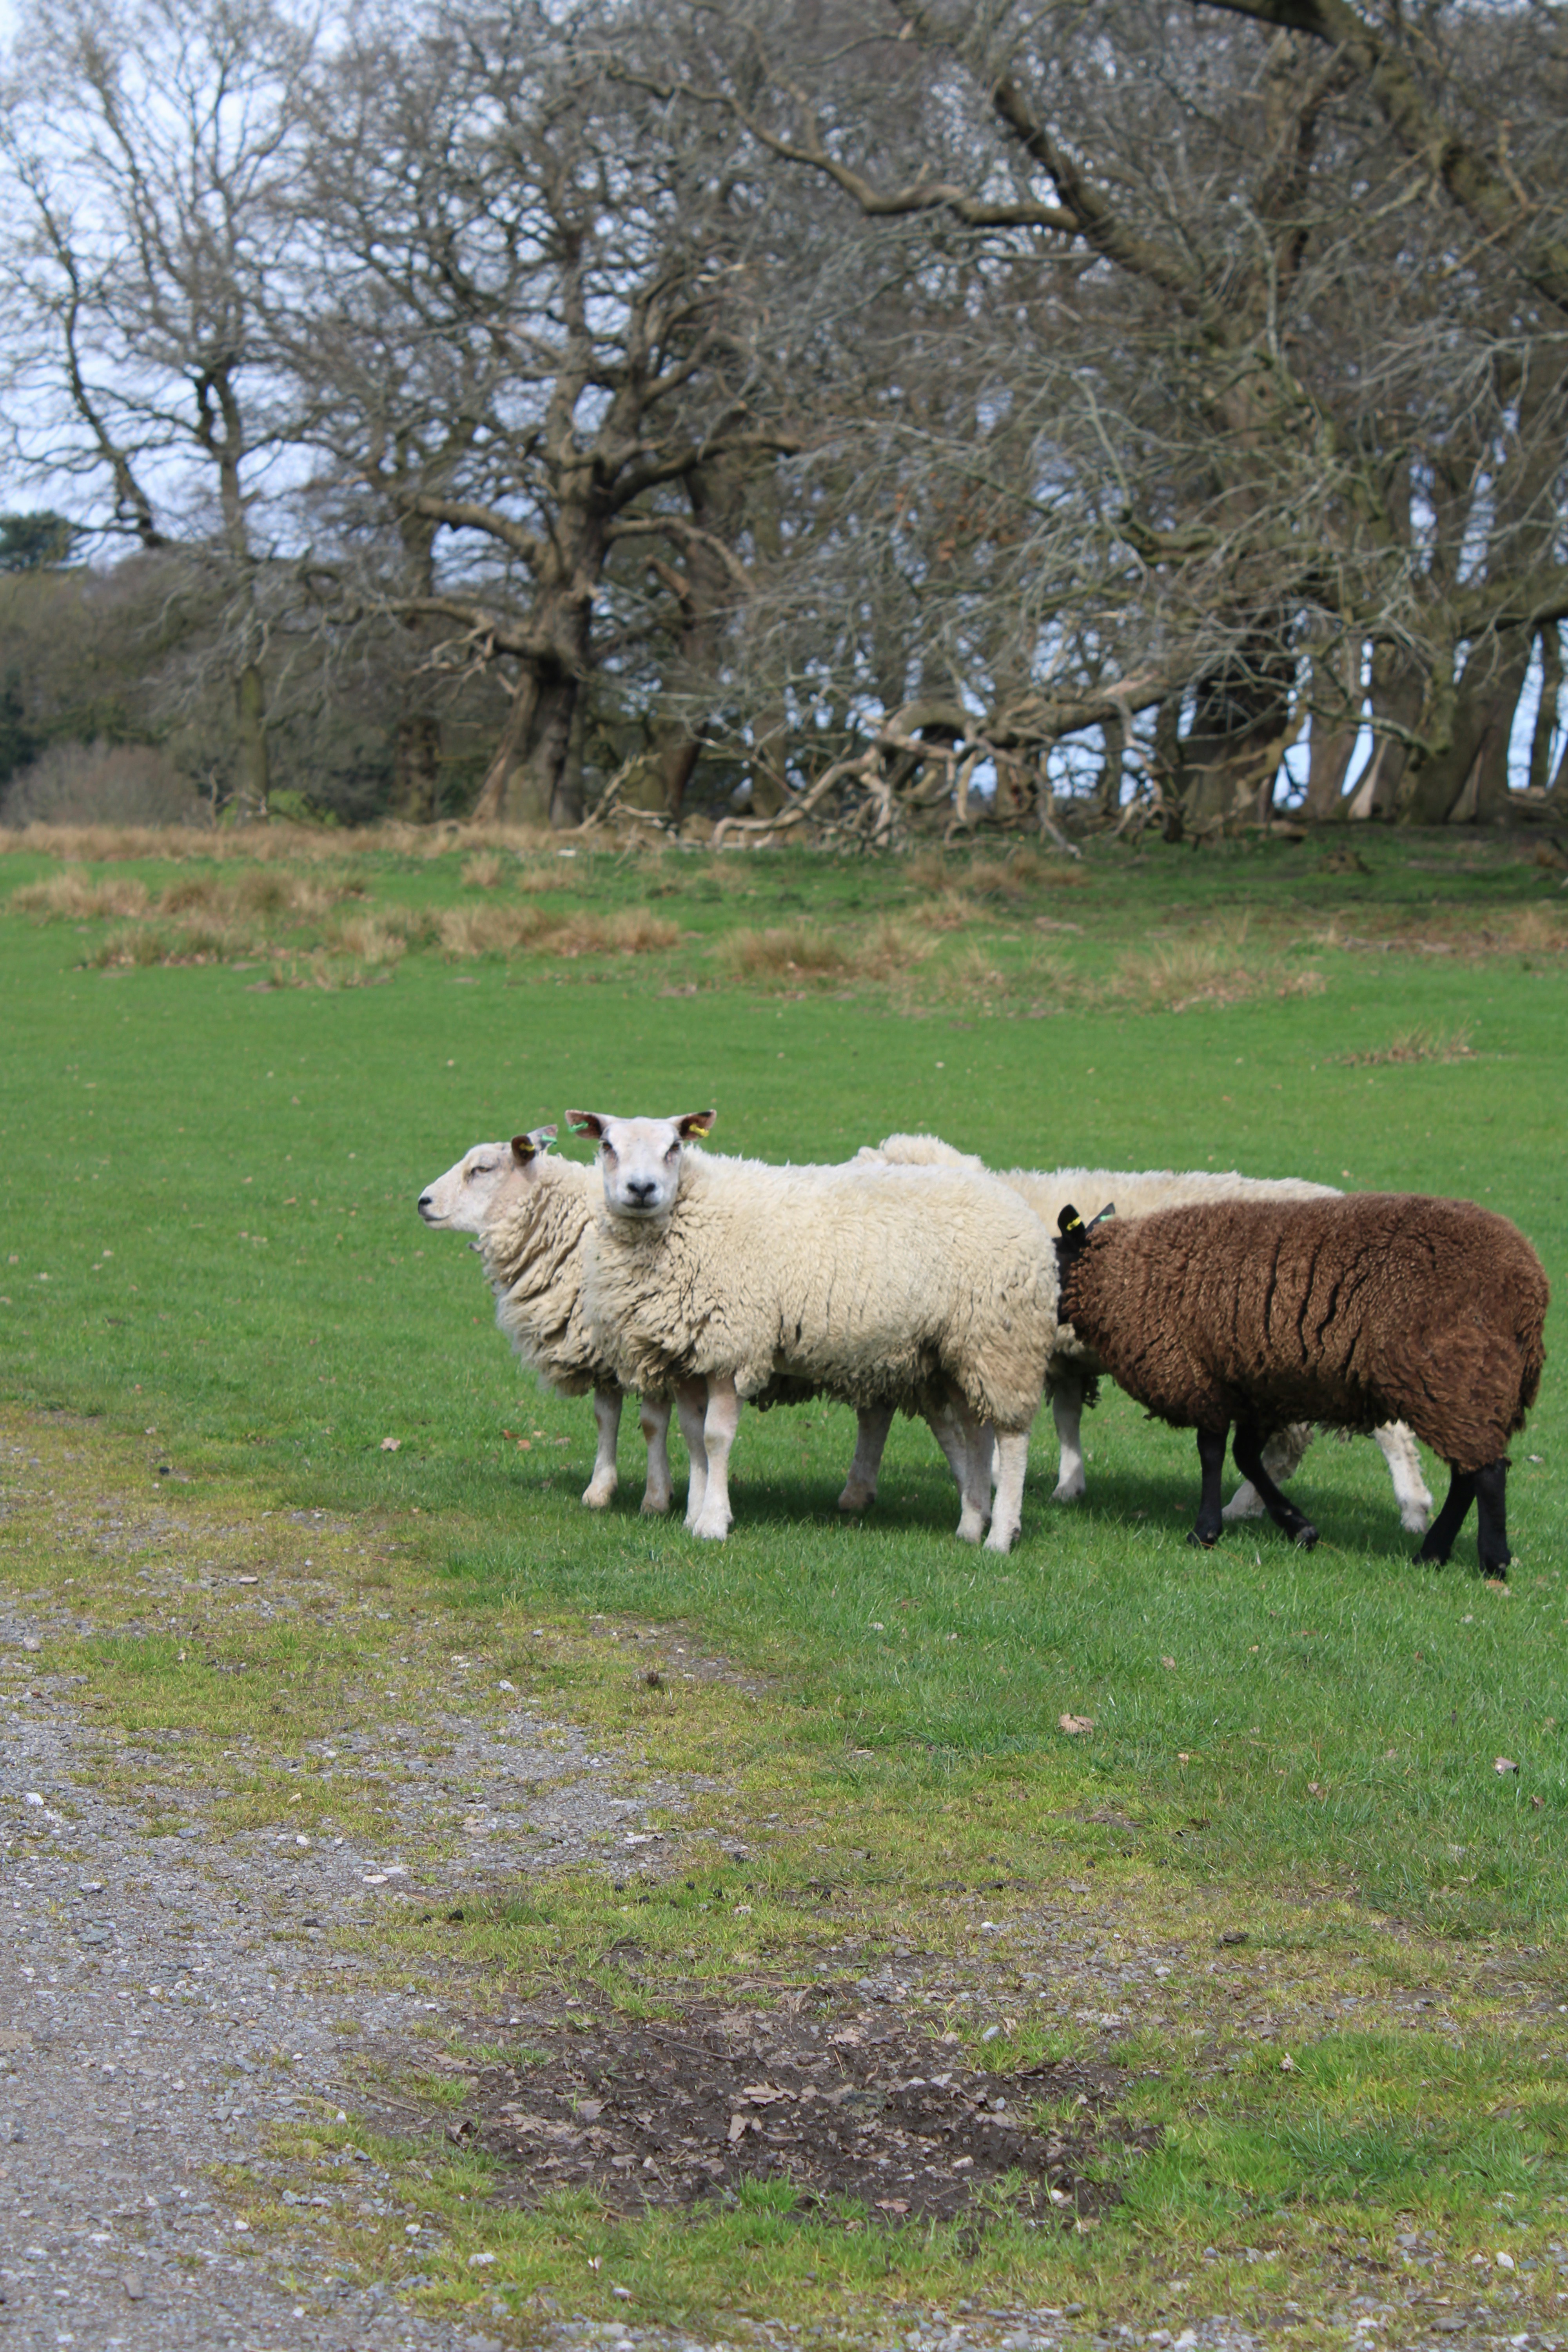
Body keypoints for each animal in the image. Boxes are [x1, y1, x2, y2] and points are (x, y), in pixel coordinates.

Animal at [416, 1131, 674, 1515]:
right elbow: (606, 1417)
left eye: (482, 1169)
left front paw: (655, 1499)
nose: (423, 1202)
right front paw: (600, 1490)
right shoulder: (605, 1350)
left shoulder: (653, 1347)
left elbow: (653, 1424)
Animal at [568, 1109, 1059, 1550]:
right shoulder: (692, 1354)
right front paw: (693, 1513)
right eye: (607, 1145)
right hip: (957, 1351)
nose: (641, 1189)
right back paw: (971, 1525)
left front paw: (712, 1523)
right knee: (977, 1432)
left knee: (1012, 1440)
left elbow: (715, 1437)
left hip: (1001, 1341)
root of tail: (1015, 1202)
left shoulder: (734, 1342)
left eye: (674, 1147)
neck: (689, 1216)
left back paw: (1000, 1536)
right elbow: (692, 1437)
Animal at [854, 1134, 1431, 1534]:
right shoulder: (1062, 1355)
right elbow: (1067, 1419)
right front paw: (1069, 1484)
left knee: (1379, 1433)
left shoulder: (1009, 1344)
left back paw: (1409, 1508)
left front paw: (999, 1478)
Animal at [1053, 1192, 1548, 1577]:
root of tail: (1530, 1285)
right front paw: (1300, 1528)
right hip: (1465, 1385)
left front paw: (1204, 1531)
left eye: (1053, 1259)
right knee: (1469, 1471)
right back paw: (1432, 1554)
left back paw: (1493, 1560)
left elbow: (1212, 1454)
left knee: (1486, 1473)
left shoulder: (1201, 1374)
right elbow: (1245, 1457)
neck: (1120, 1275)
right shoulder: (1256, 1387)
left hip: (1454, 1372)